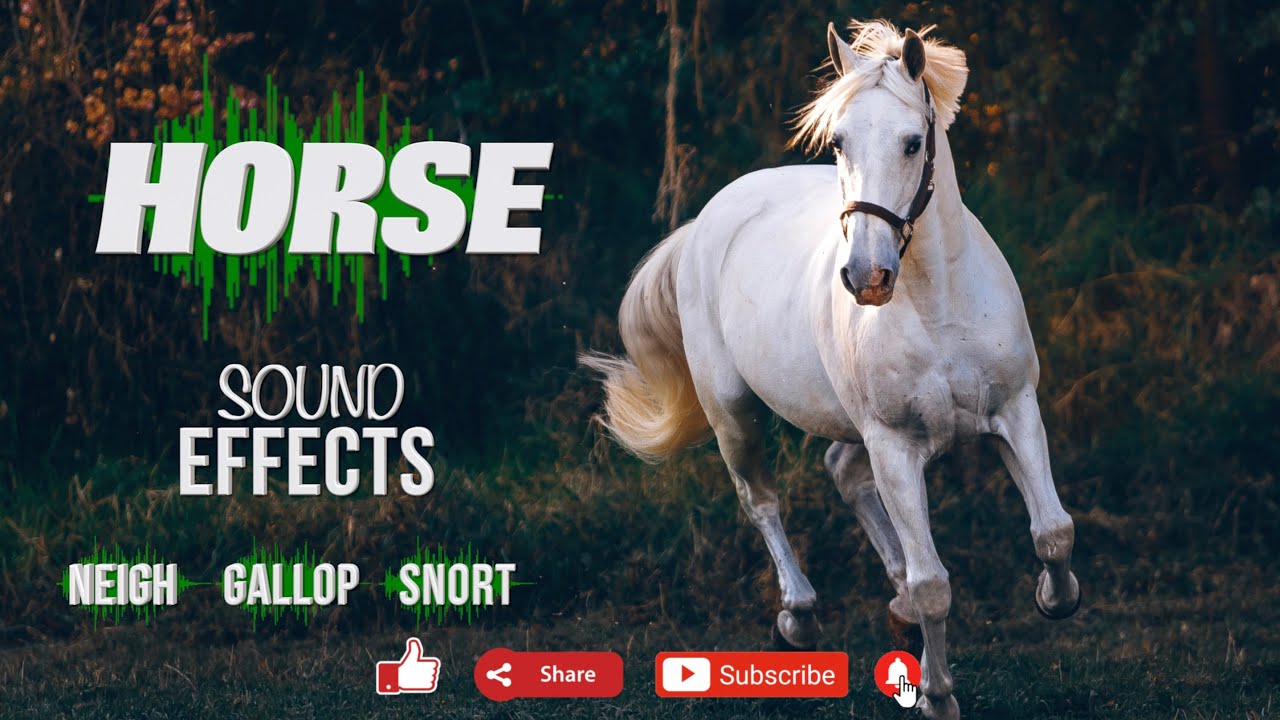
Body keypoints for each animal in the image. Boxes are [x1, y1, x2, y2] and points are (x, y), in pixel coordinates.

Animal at [582, 20, 1080, 719]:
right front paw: (937, 697)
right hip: (733, 412)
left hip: (847, 424)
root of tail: (708, 219)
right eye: (839, 141)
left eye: (913, 142)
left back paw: (892, 607)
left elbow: (1053, 532)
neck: (937, 302)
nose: (866, 276)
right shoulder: (894, 445)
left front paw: (1053, 598)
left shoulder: (1016, 410)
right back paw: (800, 616)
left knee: (842, 473)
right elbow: (934, 583)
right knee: (761, 500)